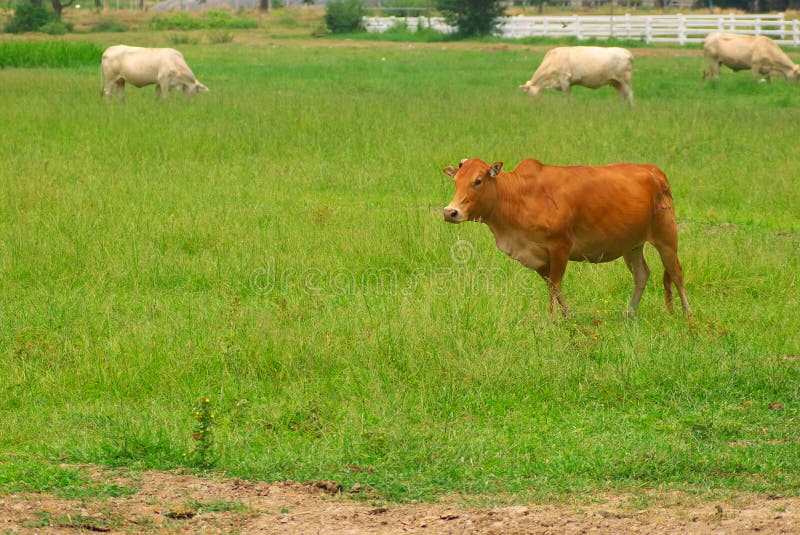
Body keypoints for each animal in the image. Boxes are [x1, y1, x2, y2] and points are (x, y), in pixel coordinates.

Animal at [442, 158, 692, 318]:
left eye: (478, 181)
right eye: (456, 182)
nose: (450, 212)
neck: (518, 196)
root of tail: (653, 170)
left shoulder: (559, 246)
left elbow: (555, 286)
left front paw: (552, 319)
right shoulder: (539, 258)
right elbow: (553, 287)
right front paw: (567, 316)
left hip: (666, 238)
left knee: (676, 273)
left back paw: (687, 313)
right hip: (632, 245)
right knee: (642, 274)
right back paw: (629, 314)